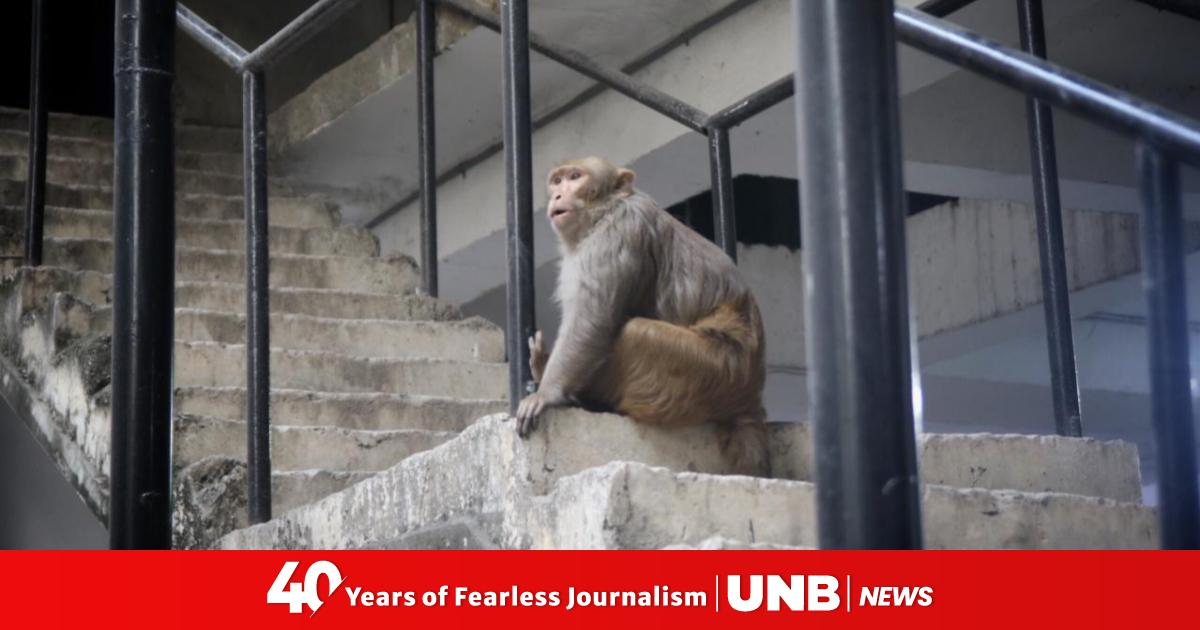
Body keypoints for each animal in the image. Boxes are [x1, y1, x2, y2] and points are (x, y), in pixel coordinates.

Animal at [514, 156, 769, 475]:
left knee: (638, 333)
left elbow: (592, 321)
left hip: (712, 370)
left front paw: (547, 393)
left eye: (575, 177)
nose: (558, 195)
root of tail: (749, 396)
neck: (603, 212)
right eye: (557, 181)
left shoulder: (617, 233)